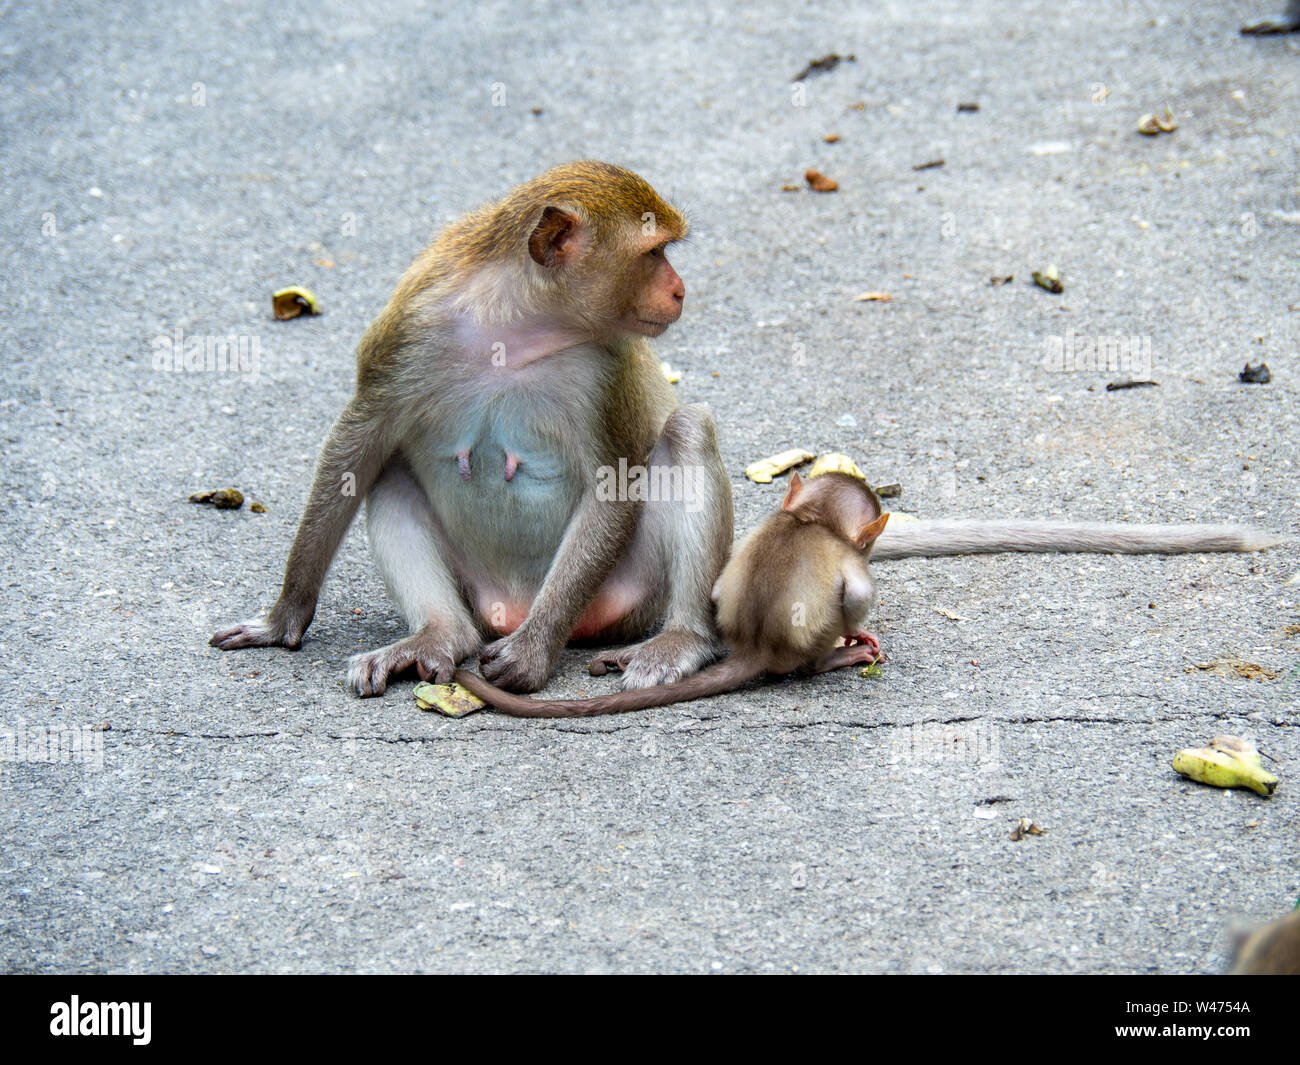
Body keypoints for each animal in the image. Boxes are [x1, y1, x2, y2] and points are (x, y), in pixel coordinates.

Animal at [211, 161, 734, 697]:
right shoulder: (409, 329)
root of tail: (512, 609)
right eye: (653, 253)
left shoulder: (605, 370)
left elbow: (614, 484)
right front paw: (283, 617)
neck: (515, 324)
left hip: (631, 594)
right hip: (477, 591)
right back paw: (440, 635)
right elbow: (355, 448)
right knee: (389, 473)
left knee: (688, 428)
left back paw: (681, 639)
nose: (680, 290)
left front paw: (532, 652)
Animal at [449, 471, 890, 717]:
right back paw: (837, 656)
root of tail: (757, 647)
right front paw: (860, 634)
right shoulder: (849, 561)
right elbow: (857, 595)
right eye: (866, 545)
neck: (811, 518)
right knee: (813, 659)